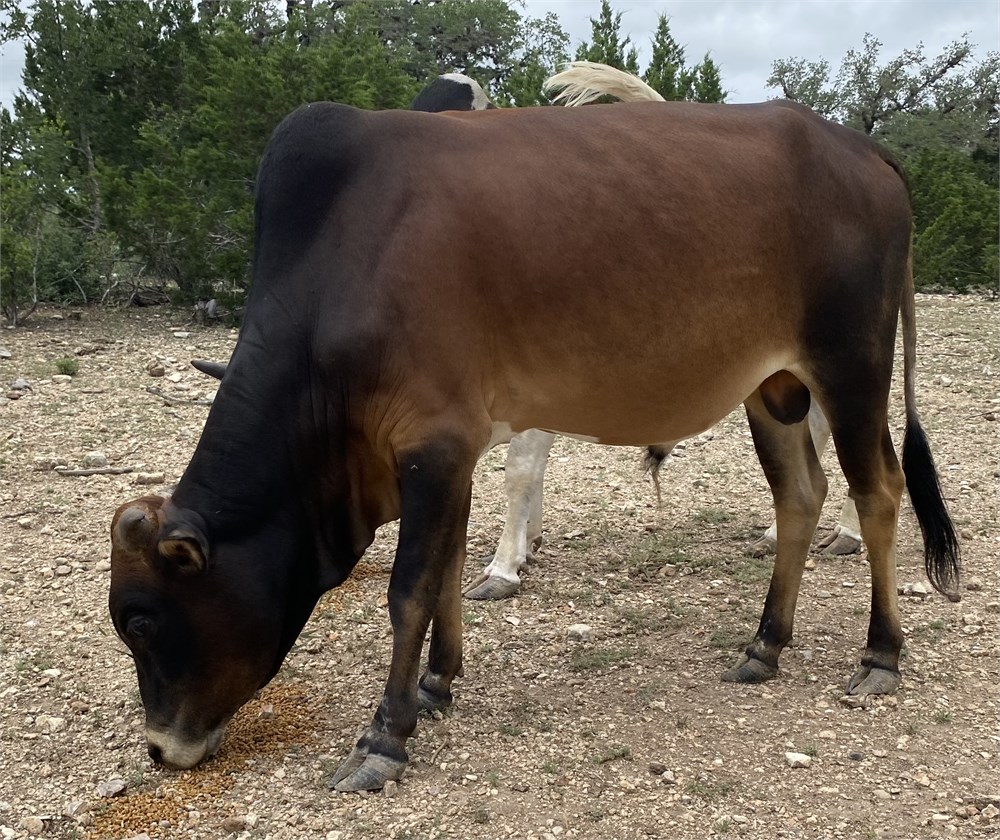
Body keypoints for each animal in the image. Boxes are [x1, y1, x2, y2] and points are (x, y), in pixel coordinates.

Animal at [110, 95, 960, 794]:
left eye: (143, 621)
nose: (161, 749)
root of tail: (857, 145)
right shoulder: (452, 451)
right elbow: (449, 571)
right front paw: (437, 685)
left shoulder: (432, 444)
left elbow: (409, 590)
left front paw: (384, 737)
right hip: (774, 388)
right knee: (800, 495)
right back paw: (764, 646)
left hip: (851, 367)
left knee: (878, 492)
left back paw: (880, 655)